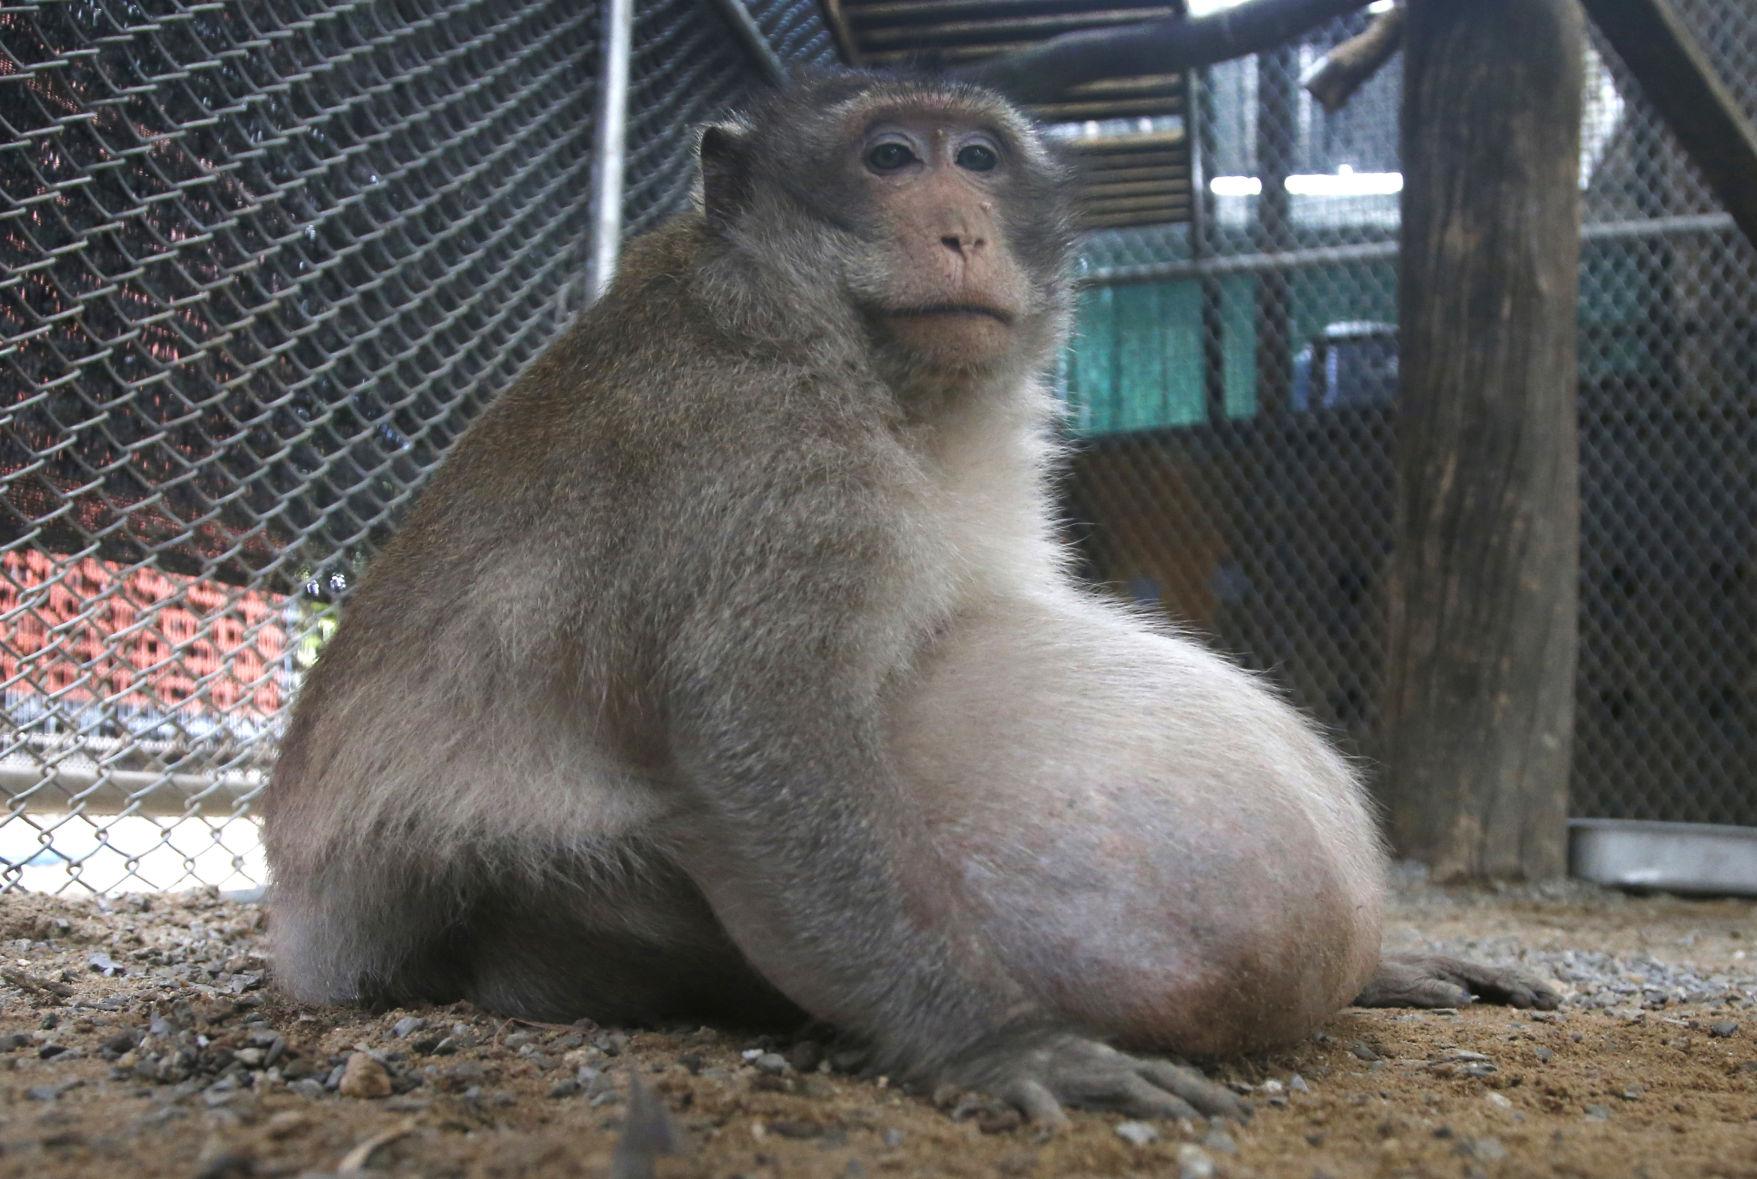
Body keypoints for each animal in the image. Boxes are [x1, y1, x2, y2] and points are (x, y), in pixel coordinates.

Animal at [263, 70, 1558, 1125]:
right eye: (889, 157)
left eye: (974, 159)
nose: (957, 225)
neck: (852, 359)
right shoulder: (766, 464)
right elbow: (755, 732)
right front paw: (993, 1043)